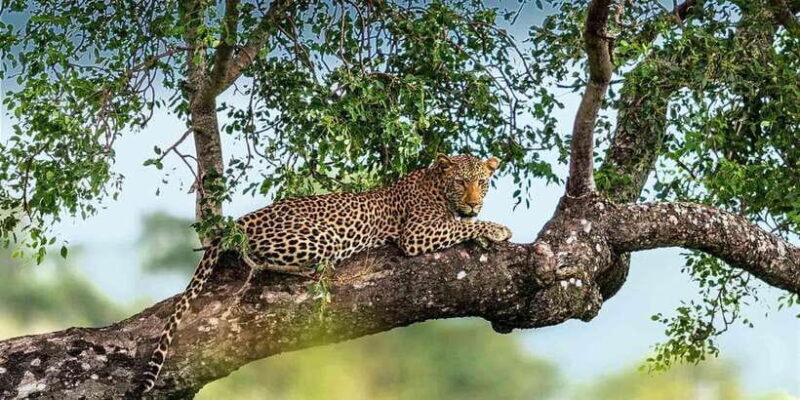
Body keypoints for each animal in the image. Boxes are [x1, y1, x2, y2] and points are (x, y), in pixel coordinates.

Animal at [139, 154, 512, 392]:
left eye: (482, 183)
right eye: (461, 182)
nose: (474, 202)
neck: (437, 186)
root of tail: (245, 218)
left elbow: (463, 225)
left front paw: (484, 228)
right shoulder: (417, 233)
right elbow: (459, 226)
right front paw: (497, 229)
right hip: (321, 237)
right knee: (261, 260)